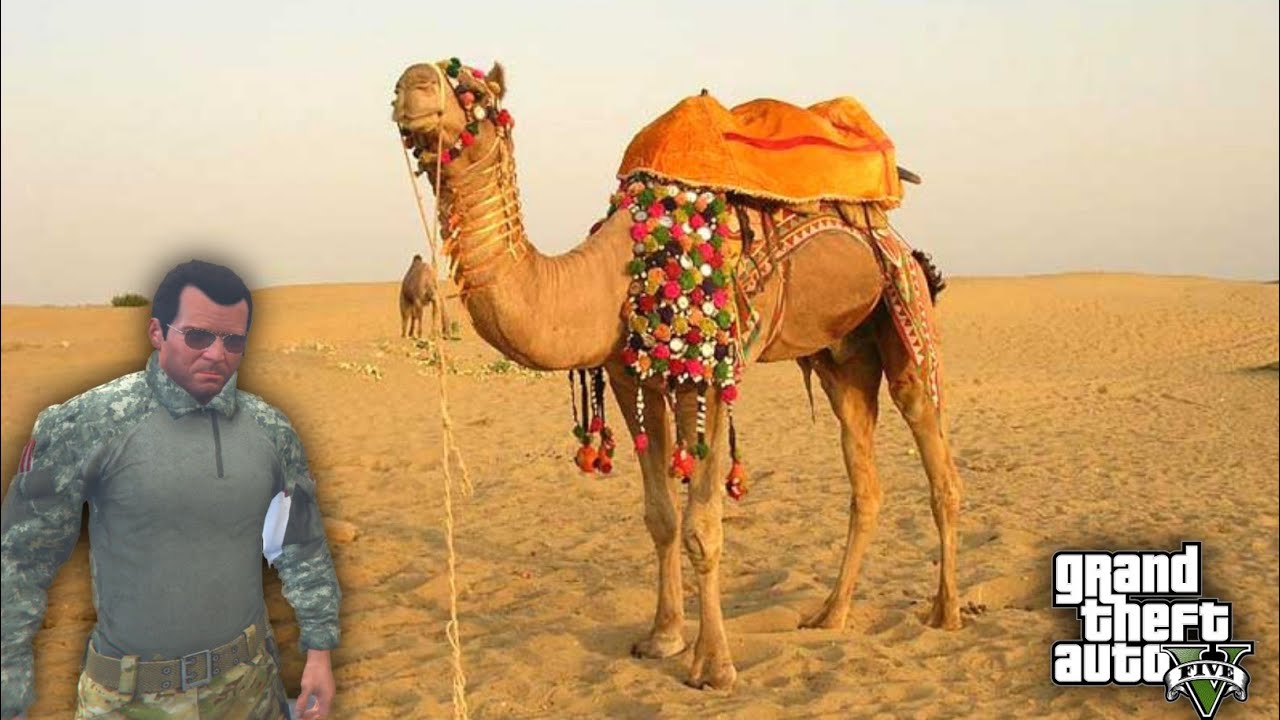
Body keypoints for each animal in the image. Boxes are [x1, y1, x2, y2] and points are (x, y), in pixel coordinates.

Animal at [391, 60, 964, 690]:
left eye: (476, 93)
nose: (412, 83)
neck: (615, 274)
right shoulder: (630, 376)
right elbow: (661, 517)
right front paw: (663, 637)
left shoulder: (709, 373)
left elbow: (702, 526)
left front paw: (713, 666)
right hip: (841, 357)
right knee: (865, 479)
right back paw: (831, 614)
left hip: (905, 312)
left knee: (937, 461)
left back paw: (947, 611)